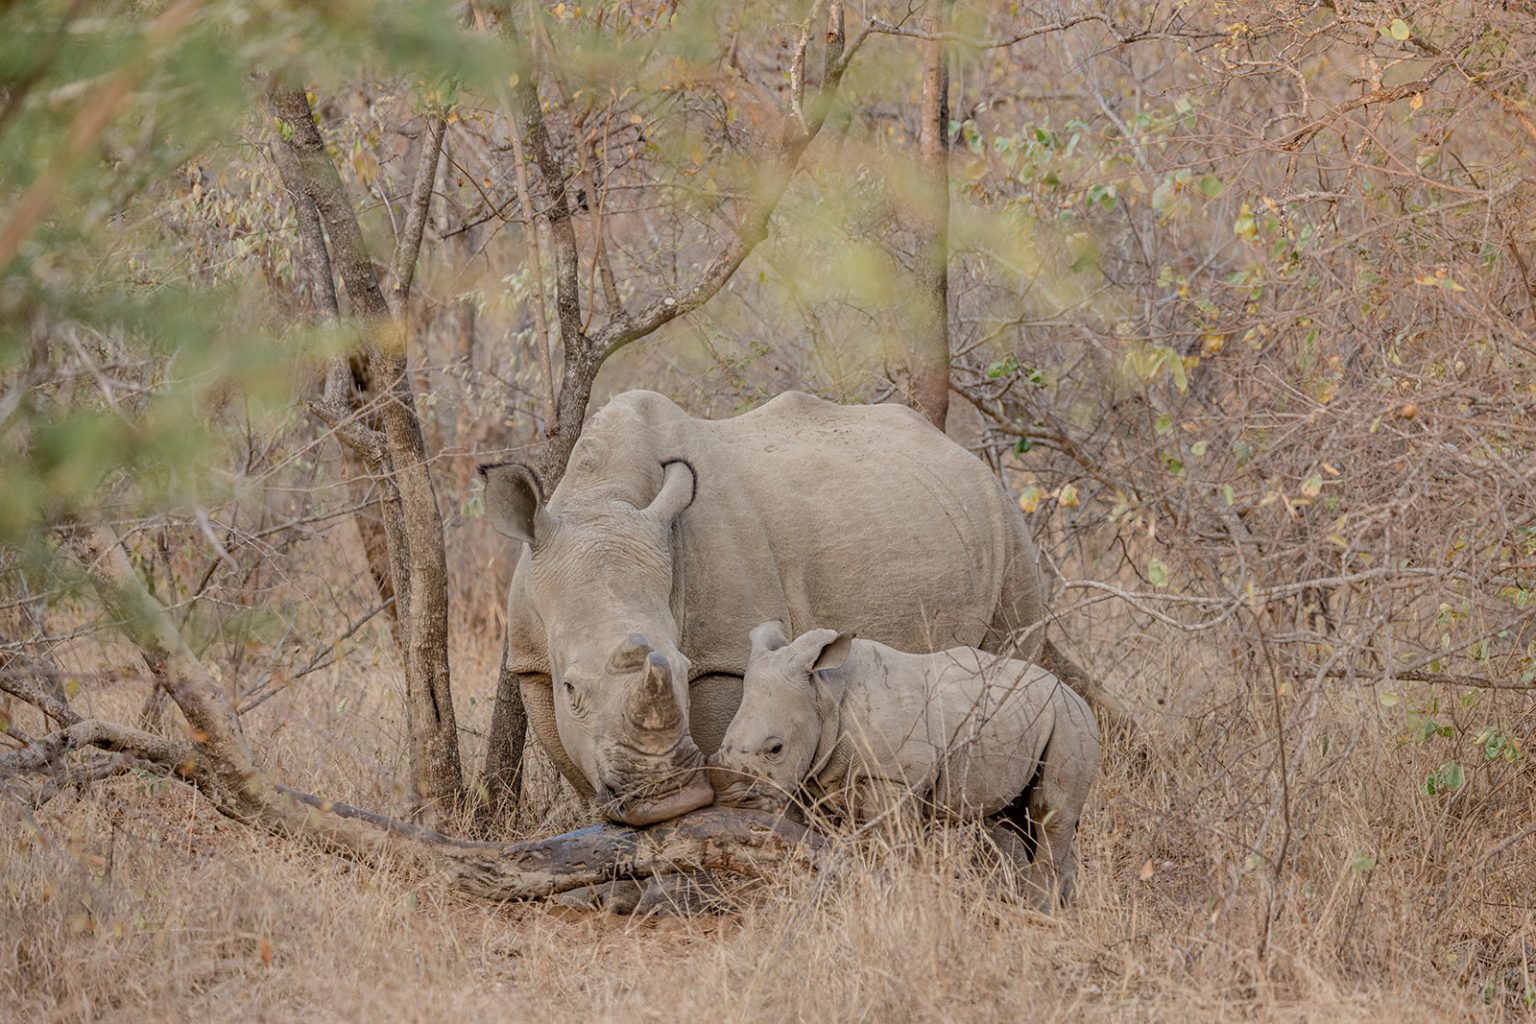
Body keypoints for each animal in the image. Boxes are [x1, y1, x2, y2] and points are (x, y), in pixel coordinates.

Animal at [481, 389, 1054, 826]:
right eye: (570, 687)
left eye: (686, 667)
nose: (665, 799)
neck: (603, 501)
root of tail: (961, 450)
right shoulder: (531, 661)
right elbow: (574, 761)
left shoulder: (723, 657)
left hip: (1006, 521)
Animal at [708, 621, 1100, 907]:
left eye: (775, 749)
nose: (732, 798)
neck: (824, 694)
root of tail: (1077, 695)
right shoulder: (825, 780)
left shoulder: (894, 778)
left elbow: (891, 845)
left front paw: (894, 895)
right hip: (1035, 719)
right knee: (1020, 817)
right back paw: (1063, 908)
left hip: (1071, 720)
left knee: (1050, 813)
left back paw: (1039, 909)